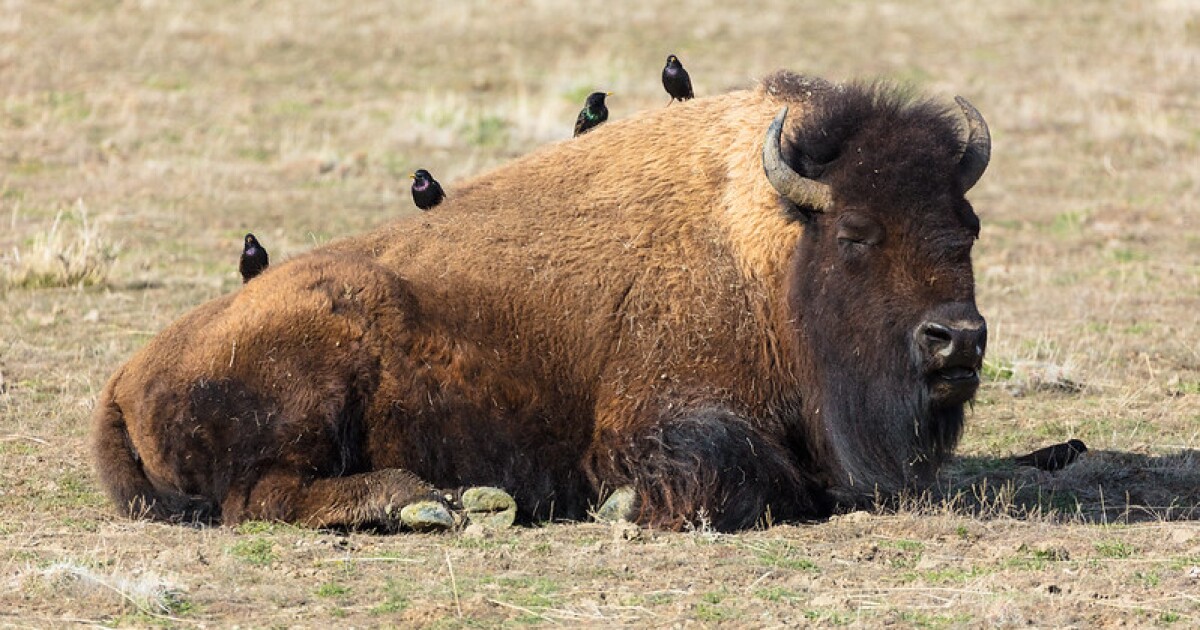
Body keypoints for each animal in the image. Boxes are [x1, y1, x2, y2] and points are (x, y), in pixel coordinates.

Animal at [92, 71, 991, 532]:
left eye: (968, 226)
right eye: (856, 234)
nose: (957, 338)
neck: (767, 246)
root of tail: (123, 381)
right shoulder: (659, 418)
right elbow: (746, 478)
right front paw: (621, 504)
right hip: (312, 380)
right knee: (265, 499)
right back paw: (429, 503)